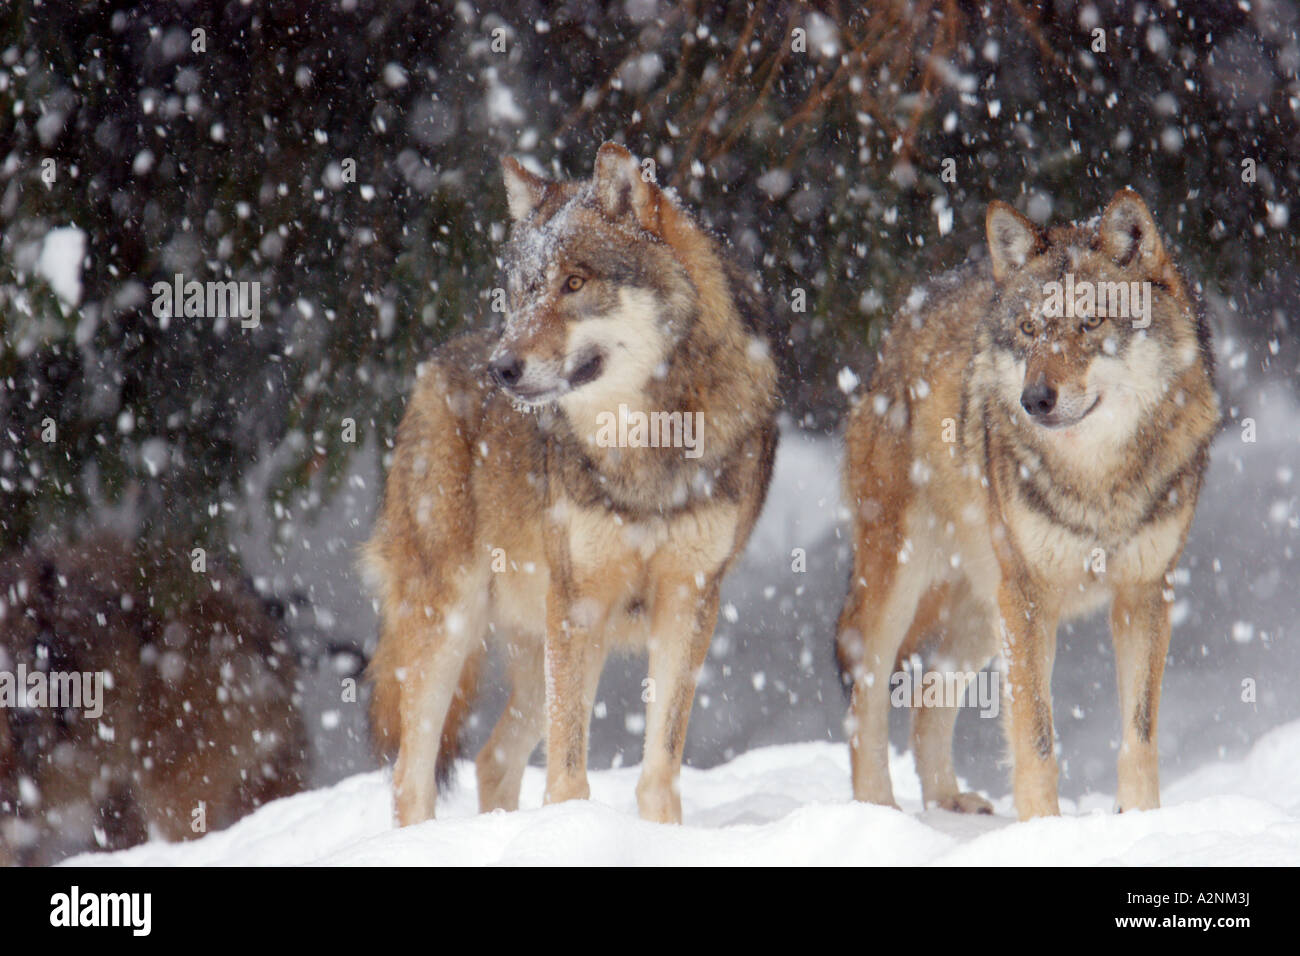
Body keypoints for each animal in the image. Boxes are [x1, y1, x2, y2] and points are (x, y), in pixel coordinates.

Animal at [363, 142, 779, 826]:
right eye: (520, 291)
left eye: (574, 283)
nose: (502, 369)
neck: (644, 450)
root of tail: (433, 368)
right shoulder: (578, 601)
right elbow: (567, 775)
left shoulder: (690, 601)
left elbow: (660, 767)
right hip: (449, 622)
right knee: (410, 776)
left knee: (493, 759)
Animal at [836, 190, 1220, 819]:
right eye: (1028, 328)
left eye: (1091, 323)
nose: (1034, 399)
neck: (1097, 482)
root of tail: (900, 327)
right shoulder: (1031, 597)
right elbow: (1035, 736)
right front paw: (1043, 827)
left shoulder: (1145, 592)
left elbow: (1139, 735)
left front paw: (1141, 820)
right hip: (904, 584)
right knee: (865, 700)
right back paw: (877, 814)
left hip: (983, 607)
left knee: (928, 693)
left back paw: (947, 800)